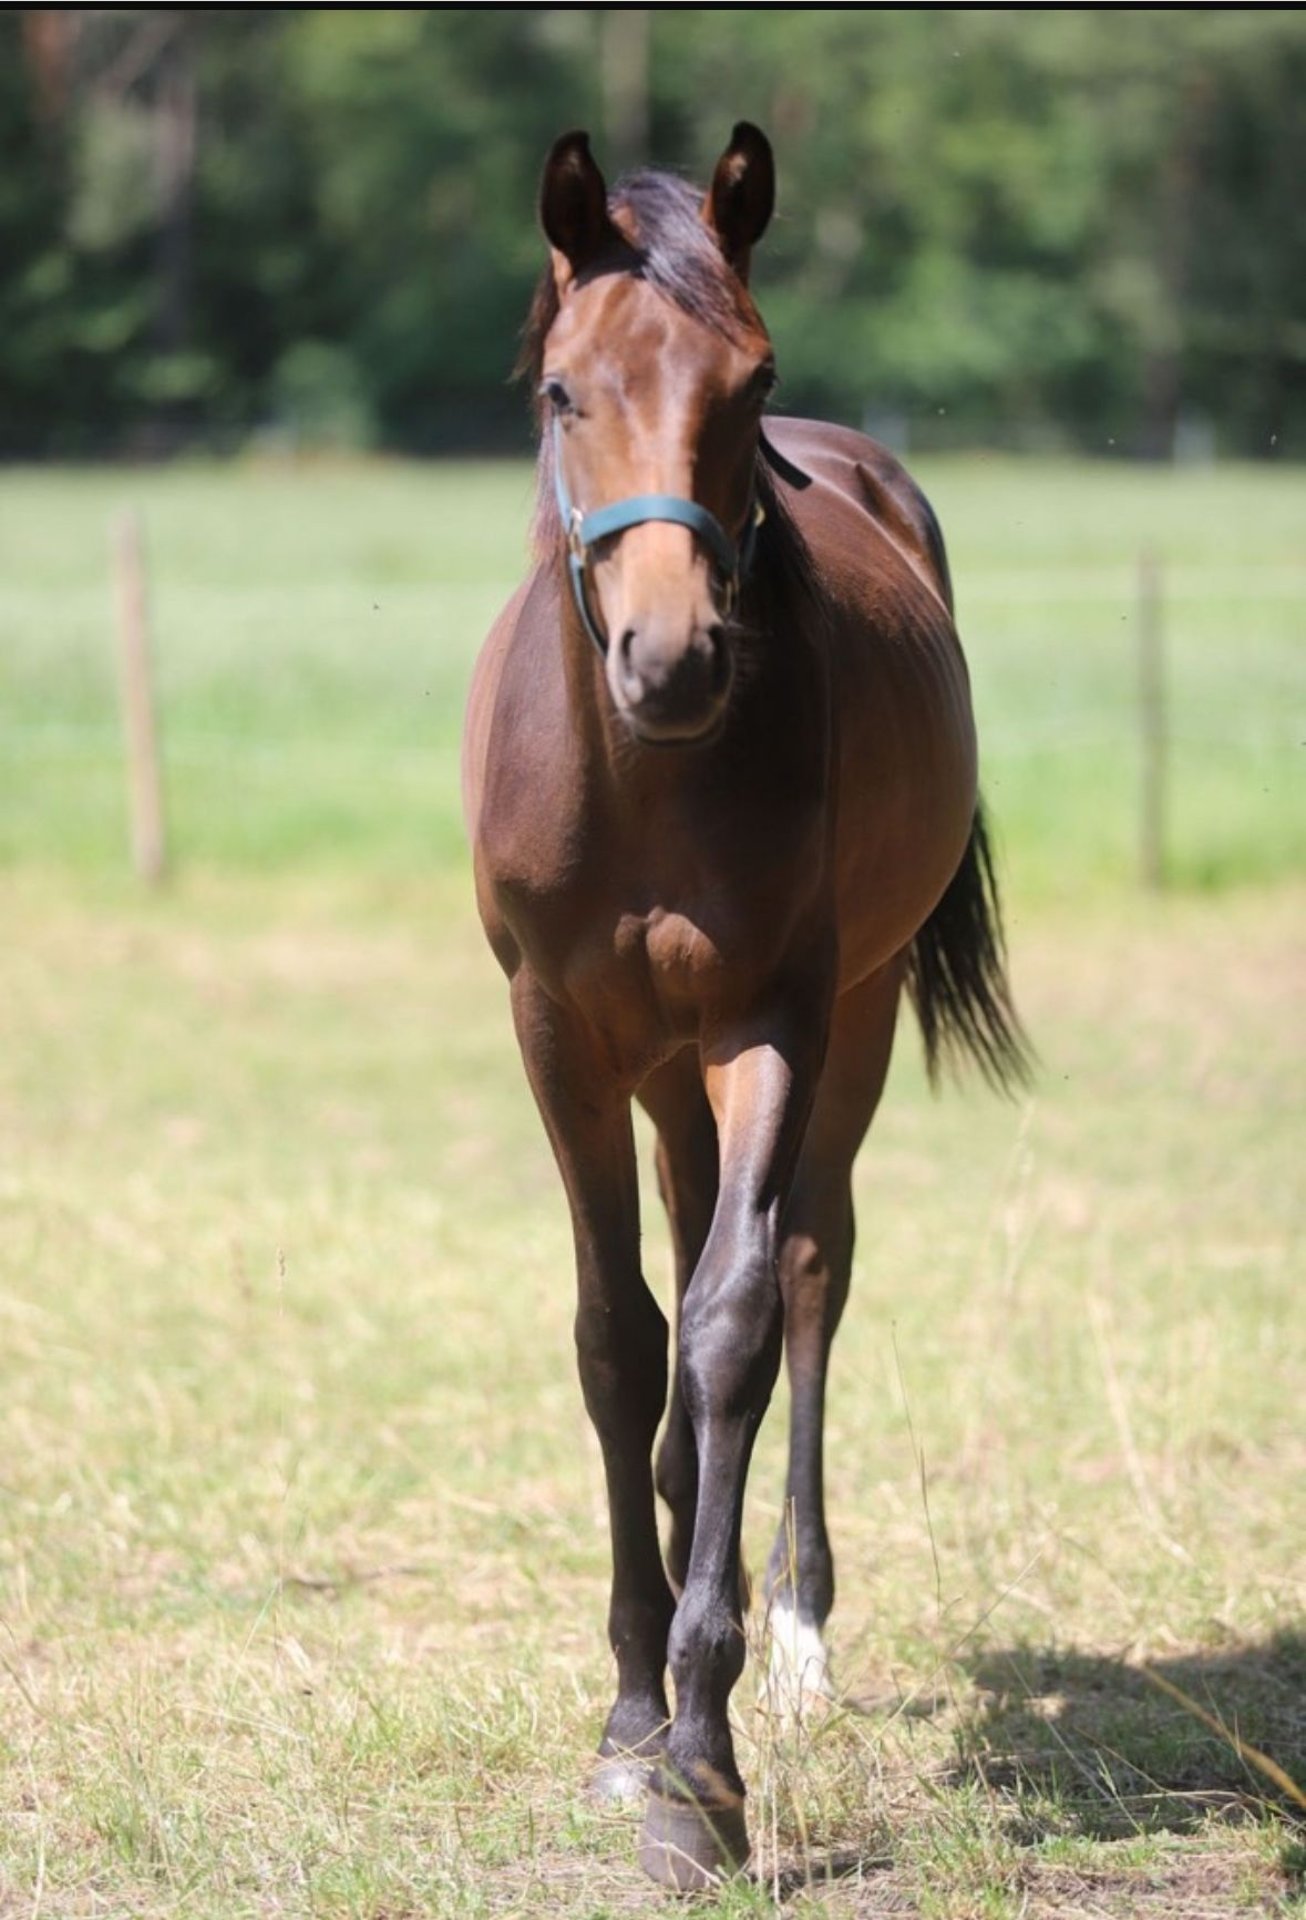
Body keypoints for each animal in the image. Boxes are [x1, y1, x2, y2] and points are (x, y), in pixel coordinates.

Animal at [461, 122, 1028, 1891]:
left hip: (851, 1018)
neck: (645, 778)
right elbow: (614, 1338)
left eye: (749, 381)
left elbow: (725, 1329)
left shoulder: (773, 1019)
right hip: (658, 1072)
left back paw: (796, 1639)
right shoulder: (559, 1036)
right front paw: (628, 1716)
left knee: (806, 1272)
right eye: (561, 389)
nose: (672, 658)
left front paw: (700, 1769)